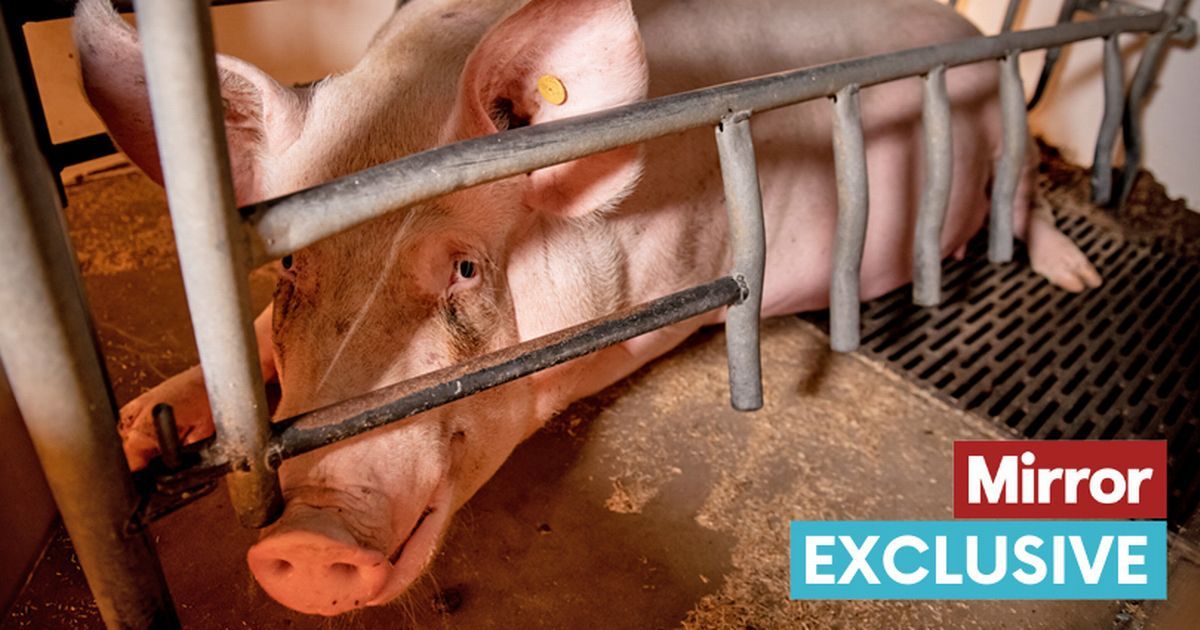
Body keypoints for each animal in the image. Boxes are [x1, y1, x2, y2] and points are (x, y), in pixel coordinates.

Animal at [75, 0, 1102, 616]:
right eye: (289, 266)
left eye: (465, 269)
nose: (308, 536)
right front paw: (133, 430)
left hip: (1015, 148)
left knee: (1032, 202)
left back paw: (1077, 280)